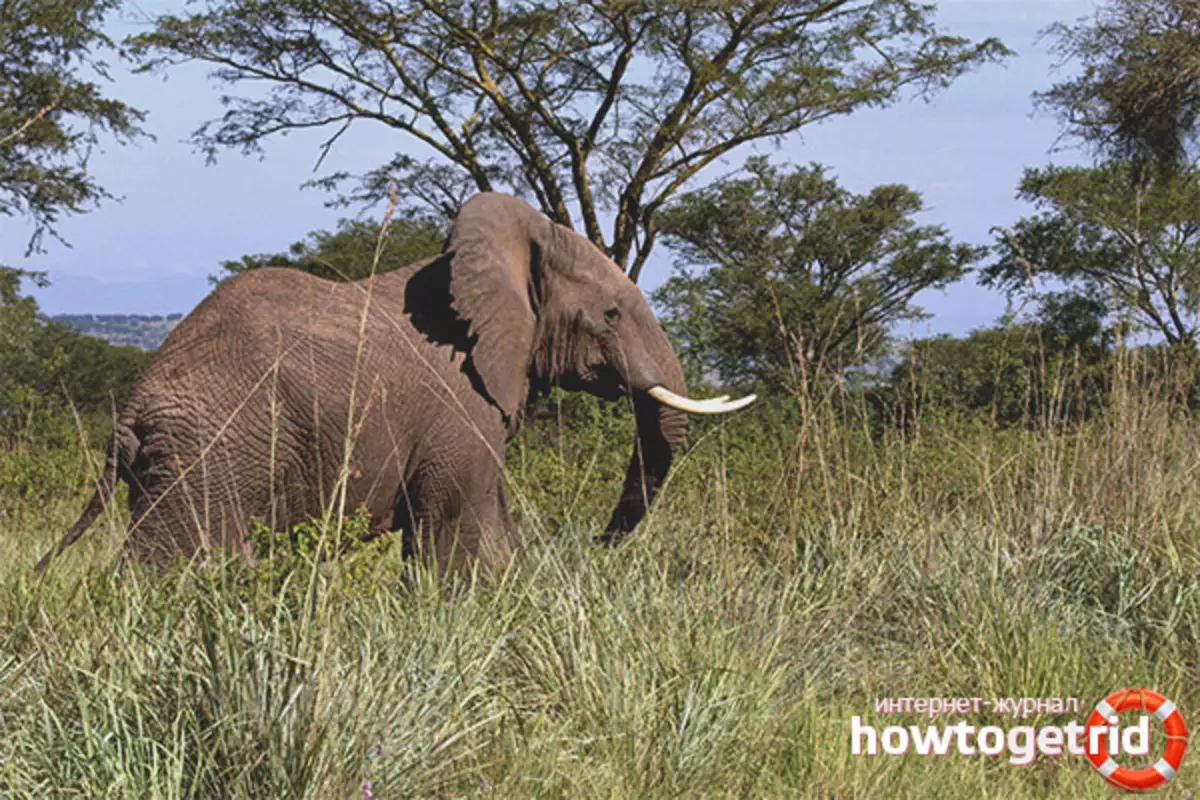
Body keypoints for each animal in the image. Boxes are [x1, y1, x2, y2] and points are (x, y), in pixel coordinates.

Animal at [37, 190, 753, 573]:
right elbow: (457, 532)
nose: (594, 543)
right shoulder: (463, 402)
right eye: (610, 315)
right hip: (211, 451)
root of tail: (131, 412)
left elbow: (490, 528)